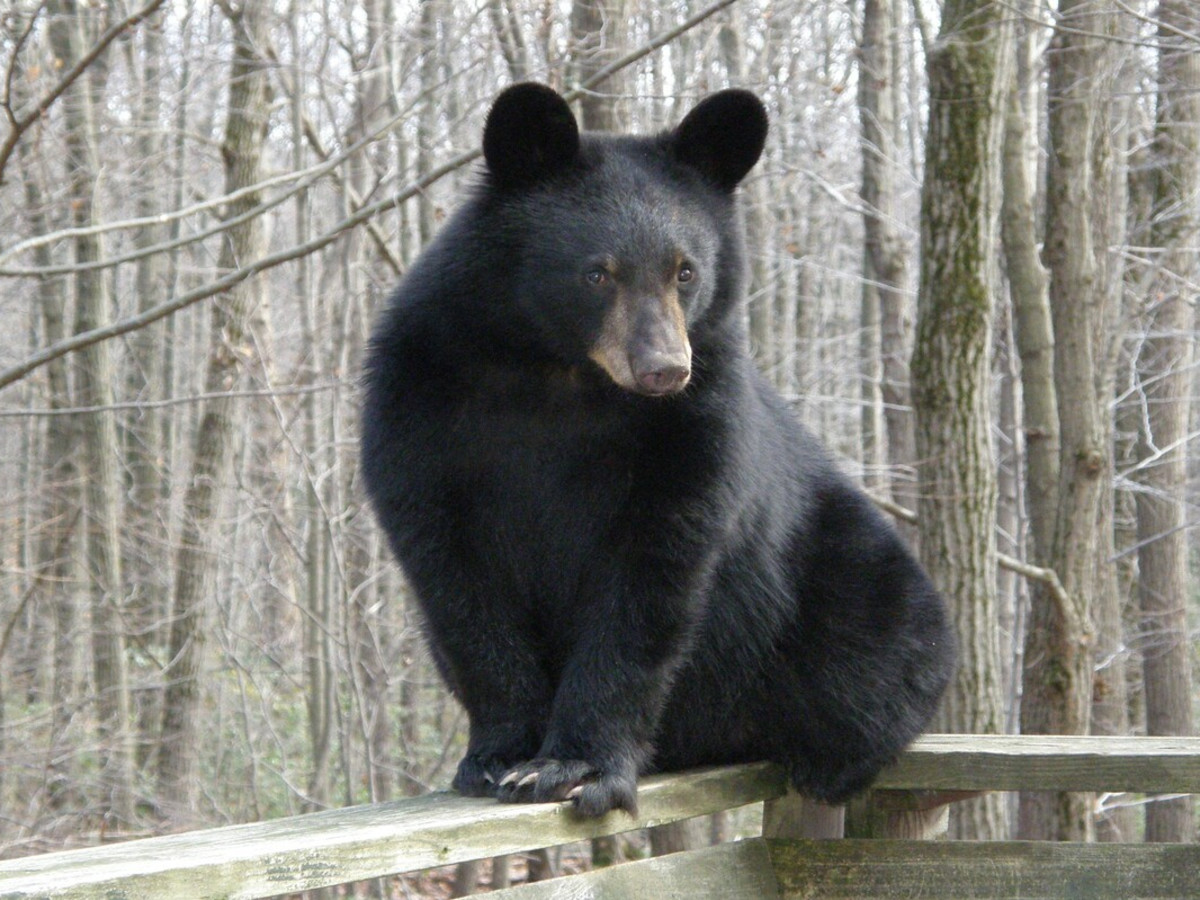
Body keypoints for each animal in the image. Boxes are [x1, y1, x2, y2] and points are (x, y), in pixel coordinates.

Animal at [360, 83, 955, 818]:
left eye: (685, 271)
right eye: (597, 274)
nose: (664, 370)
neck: (558, 370)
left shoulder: (697, 426)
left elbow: (650, 578)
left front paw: (573, 766)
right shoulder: (418, 403)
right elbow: (458, 579)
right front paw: (499, 755)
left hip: (843, 578)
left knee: (878, 653)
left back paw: (828, 757)